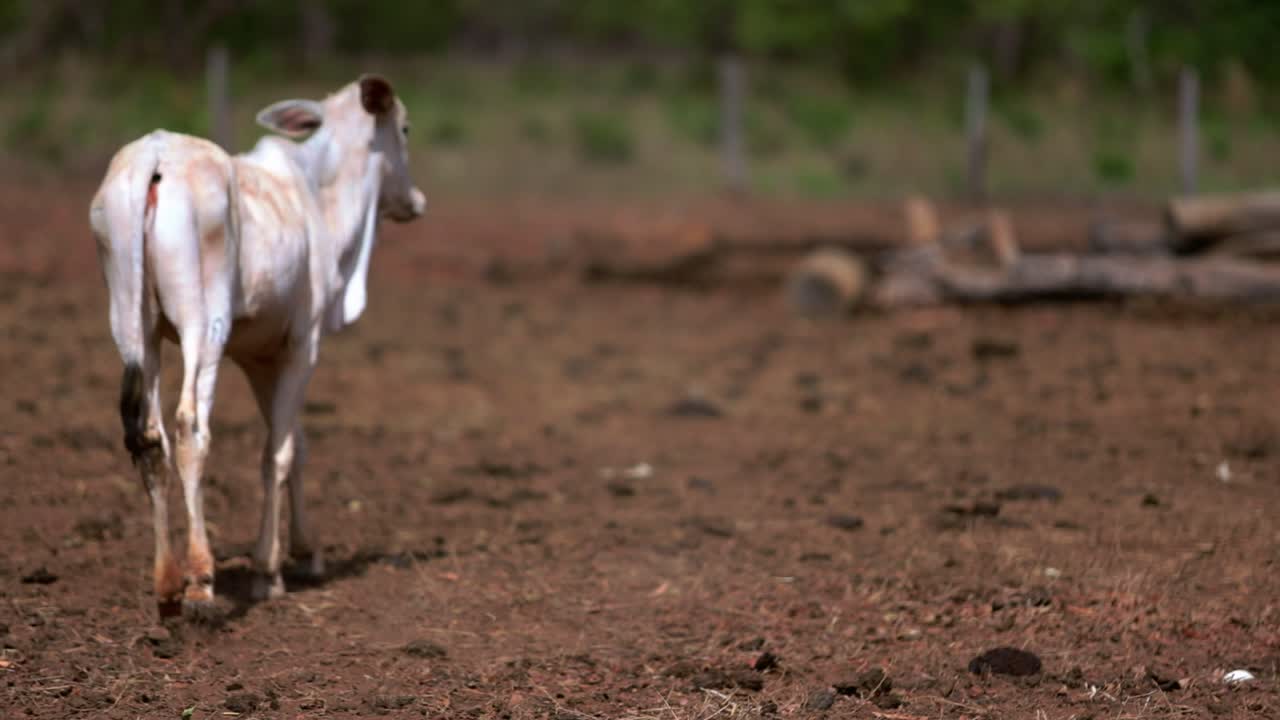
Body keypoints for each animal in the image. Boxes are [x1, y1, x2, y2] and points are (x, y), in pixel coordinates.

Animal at [89, 74, 425, 618]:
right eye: (406, 128)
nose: (416, 201)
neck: (316, 194)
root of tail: (153, 158)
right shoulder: (302, 346)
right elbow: (280, 454)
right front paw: (268, 572)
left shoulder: (257, 355)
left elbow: (297, 444)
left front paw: (308, 553)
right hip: (203, 324)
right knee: (189, 429)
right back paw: (200, 581)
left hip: (134, 325)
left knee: (148, 436)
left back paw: (167, 585)